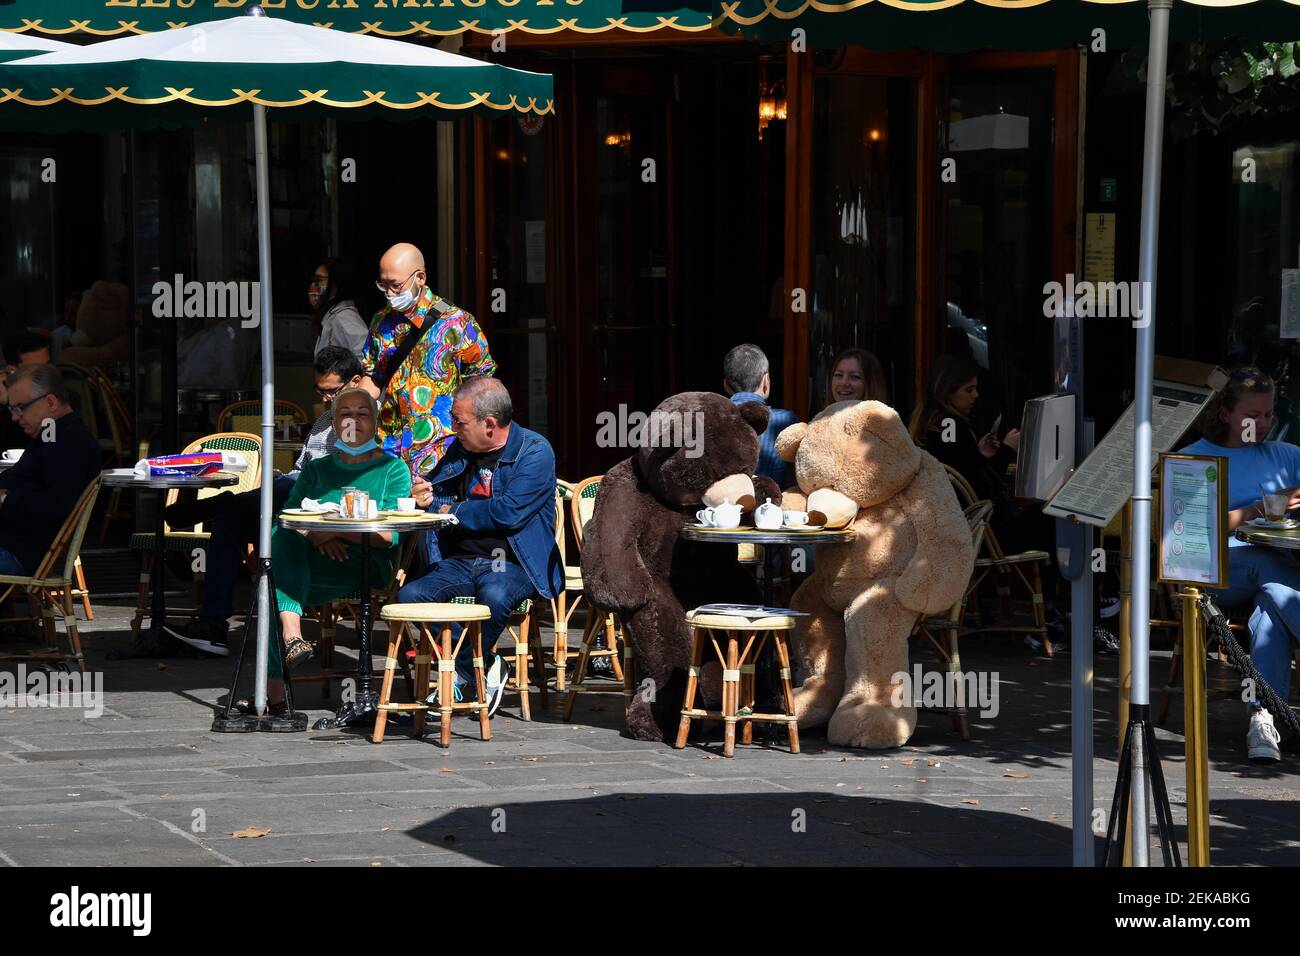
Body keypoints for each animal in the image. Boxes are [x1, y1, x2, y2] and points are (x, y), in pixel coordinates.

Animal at [582, 391, 782, 742]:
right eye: (712, 473)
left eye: (744, 466)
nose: (743, 497)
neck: (677, 502)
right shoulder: (624, 489)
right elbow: (611, 535)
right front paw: (622, 592)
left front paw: (766, 493)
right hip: (664, 600)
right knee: (665, 641)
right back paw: (658, 720)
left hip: (733, 586)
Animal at [776, 400, 974, 749]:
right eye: (812, 484)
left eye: (839, 484)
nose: (817, 513)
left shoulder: (928, 481)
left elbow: (947, 537)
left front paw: (918, 589)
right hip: (818, 596)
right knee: (813, 621)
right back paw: (810, 703)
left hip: (878, 600)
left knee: (872, 628)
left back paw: (869, 718)